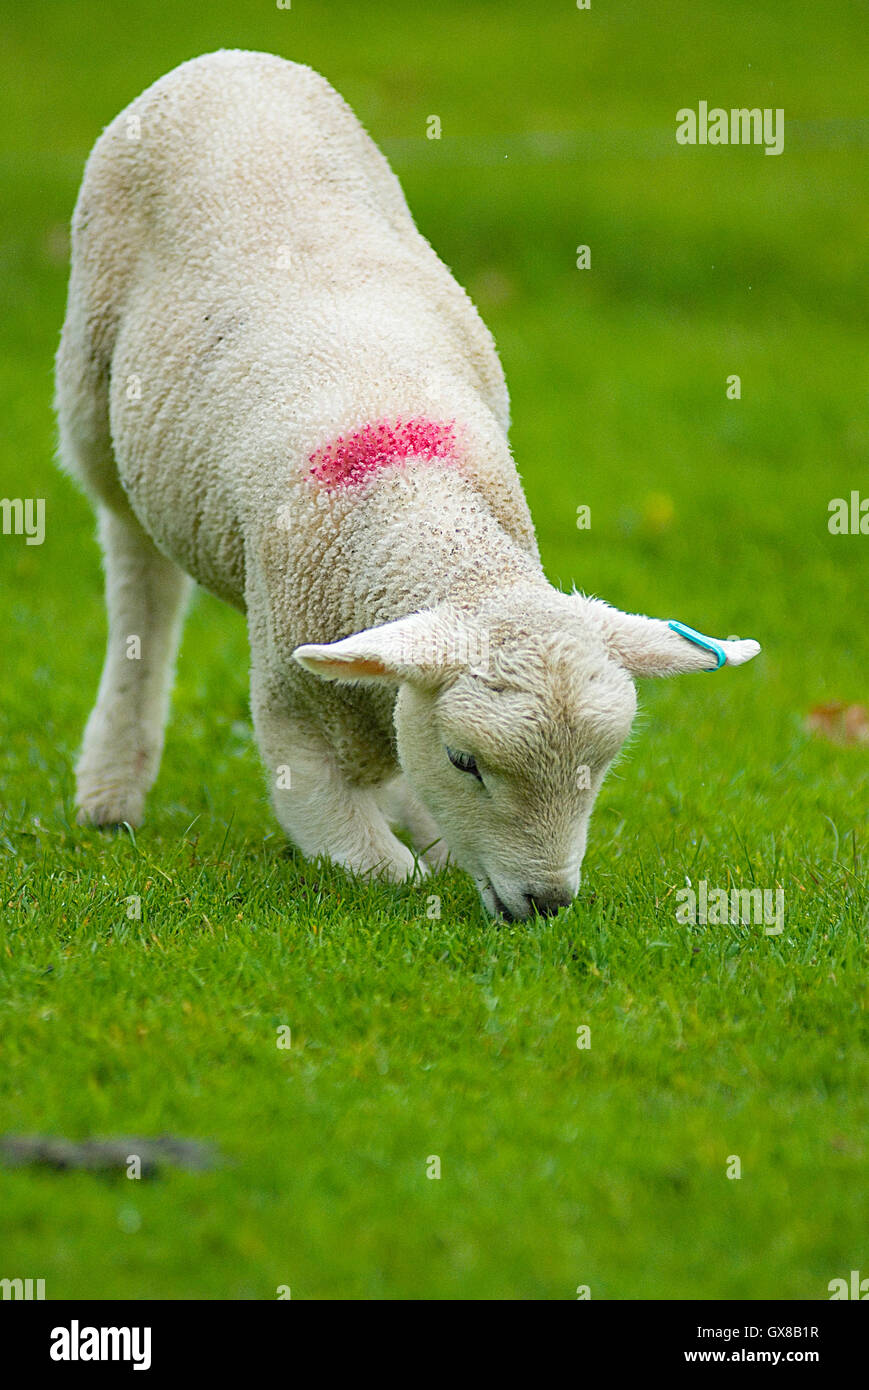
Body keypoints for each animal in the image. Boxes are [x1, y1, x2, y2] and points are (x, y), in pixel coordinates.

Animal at [55, 50, 760, 921]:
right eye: (465, 762)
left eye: (596, 769)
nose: (547, 902)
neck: (416, 505)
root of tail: (228, 59)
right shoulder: (292, 711)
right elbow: (376, 865)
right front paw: (413, 863)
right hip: (91, 402)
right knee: (138, 578)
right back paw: (111, 785)